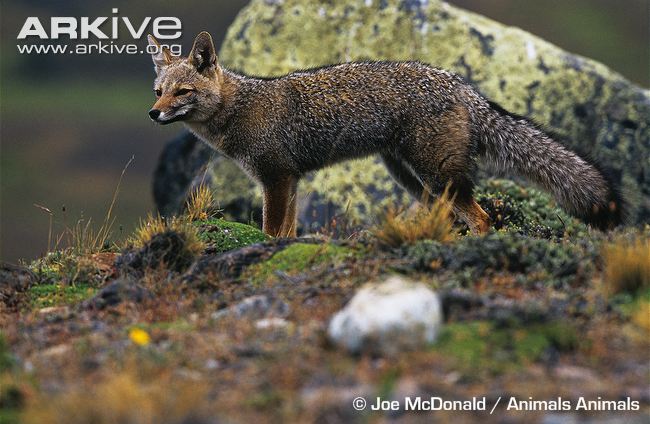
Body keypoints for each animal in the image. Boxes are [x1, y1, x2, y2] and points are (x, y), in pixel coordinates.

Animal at [147, 31, 623, 238]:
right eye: (158, 91)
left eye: (182, 92)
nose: (153, 113)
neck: (241, 106)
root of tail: (463, 87)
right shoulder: (291, 181)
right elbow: (286, 233)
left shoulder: (277, 178)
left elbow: (271, 231)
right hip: (412, 178)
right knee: (450, 213)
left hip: (437, 174)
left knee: (483, 217)